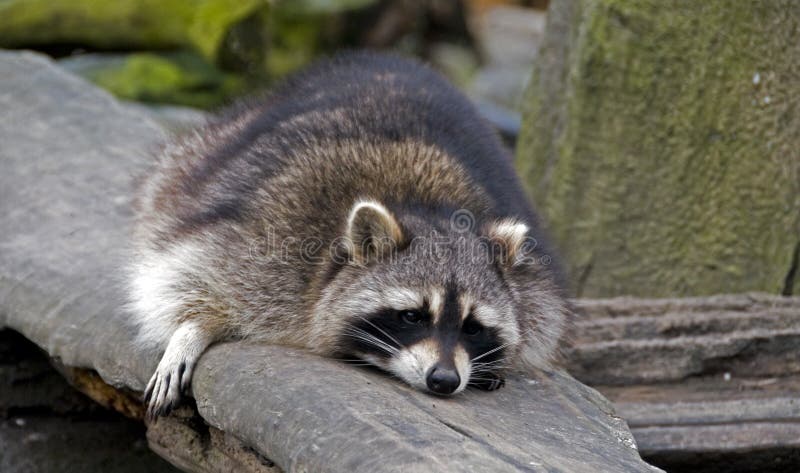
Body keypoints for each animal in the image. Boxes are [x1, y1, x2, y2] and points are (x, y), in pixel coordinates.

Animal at [130, 52, 570, 418]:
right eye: (412, 316)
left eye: (473, 327)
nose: (444, 380)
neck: (425, 209)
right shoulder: (269, 243)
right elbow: (190, 276)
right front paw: (193, 329)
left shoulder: (536, 283)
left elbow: (539, 320)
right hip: (202, 154)